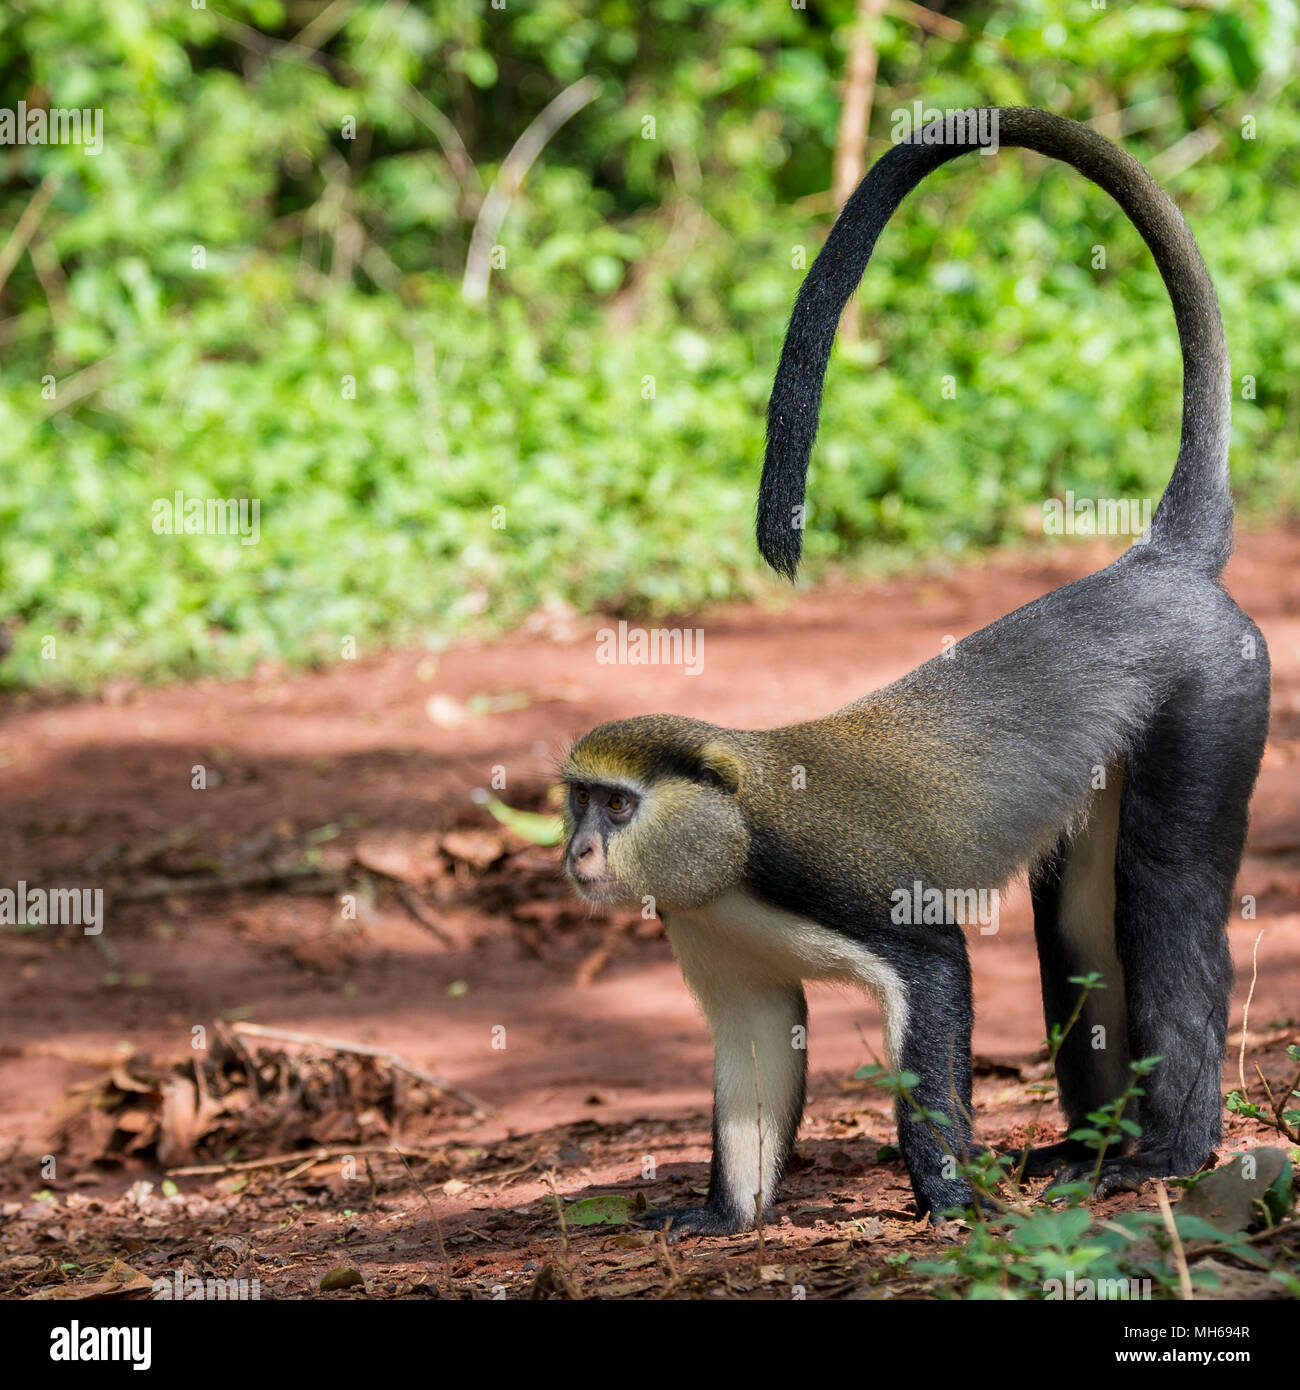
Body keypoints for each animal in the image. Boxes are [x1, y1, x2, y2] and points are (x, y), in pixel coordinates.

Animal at [561, 108, 1270, 1236]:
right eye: (576, 802)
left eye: (619, 807)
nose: (580, 855)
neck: (729, 843)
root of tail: (1157, 562)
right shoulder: (718, 945)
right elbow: (756, 1046)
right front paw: (721, 1217)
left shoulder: (836, 882)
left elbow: (936, 979)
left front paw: (945, 1196)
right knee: (1077, 919)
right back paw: (1087, 1146)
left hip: (1211, 703)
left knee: (1160, 899)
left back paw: (1166, 1151)